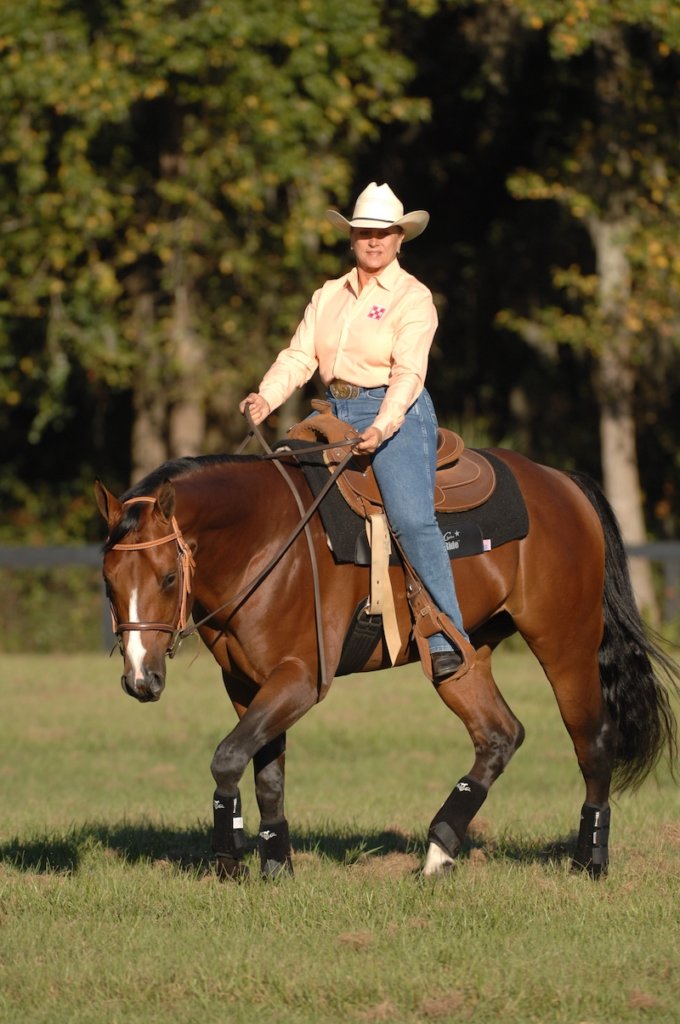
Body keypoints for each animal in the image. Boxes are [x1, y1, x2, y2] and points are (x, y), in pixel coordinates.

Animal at [94, 438, 679, 881]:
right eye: (108, 580)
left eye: (168, 577)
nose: (141, 680)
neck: (265, 539)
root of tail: (562, 483)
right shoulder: (248, 685)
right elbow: (266, 772)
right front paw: (277, 866)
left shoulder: (301, 681)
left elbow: (228, 757)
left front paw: (229, 859)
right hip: (460, 658)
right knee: (499, 735)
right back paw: (438, 851)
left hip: (565, 642)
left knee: (592, 741)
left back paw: (590, 861)